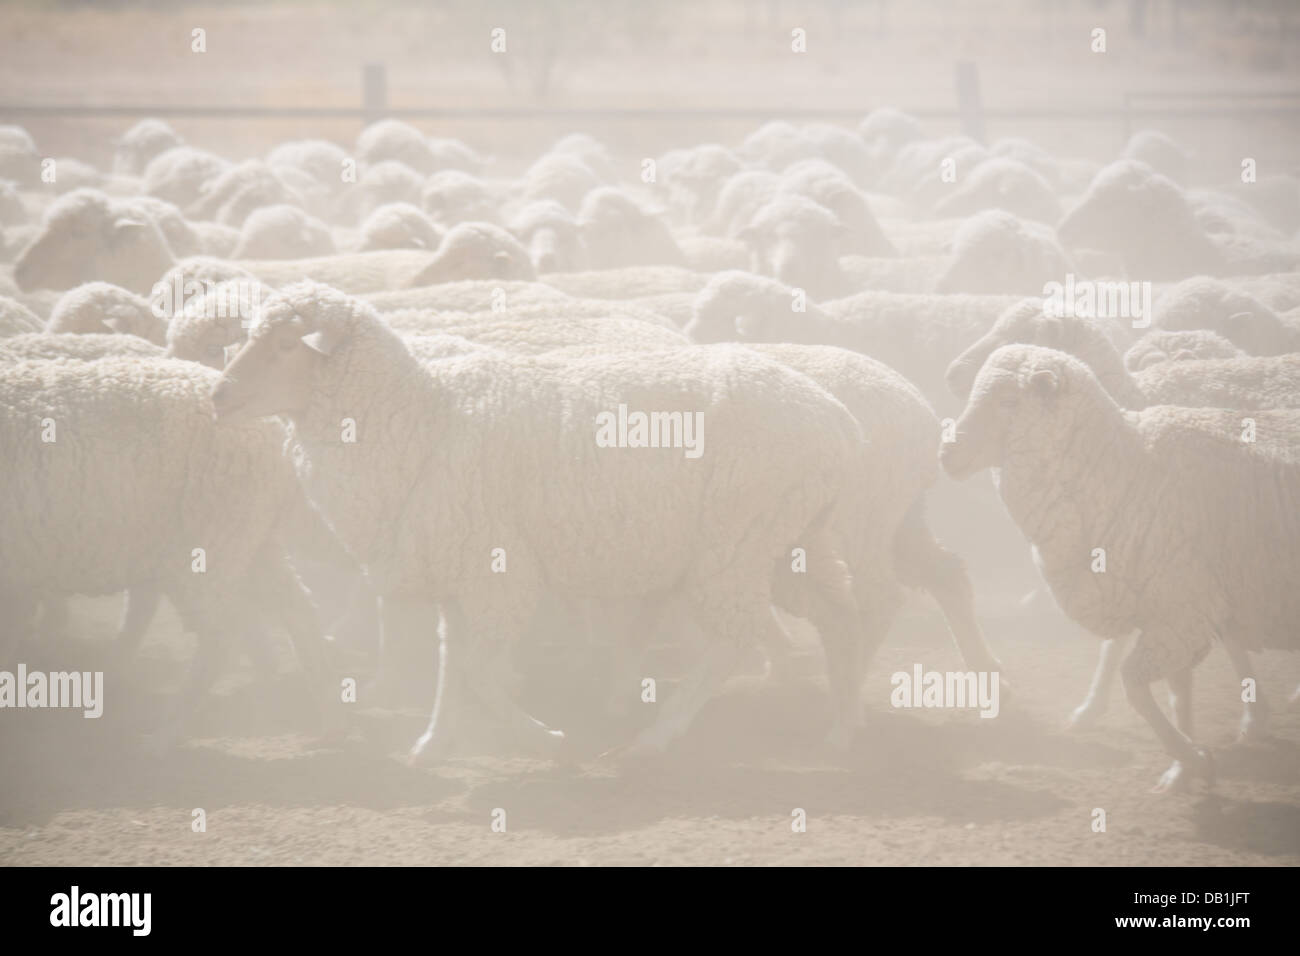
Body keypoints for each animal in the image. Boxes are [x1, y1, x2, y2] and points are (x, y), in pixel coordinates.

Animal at [213, 282, 868, 757]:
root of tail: (836, 418)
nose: (218, 396)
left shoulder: (497, 573)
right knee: (841, 617)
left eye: (285, 345)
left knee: (736, 640)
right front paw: (433, 744)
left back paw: (661, 734)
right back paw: (841, 723)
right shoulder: (458, 574)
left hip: (734, 544)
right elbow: (453, 666)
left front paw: (540, 737)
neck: (419, 416)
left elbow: (477, 671)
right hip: (790, 540)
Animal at [940, 343, 1300, 790]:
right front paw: (1183, 768)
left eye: (1009, 401)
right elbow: (1178, 692)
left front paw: (1192, 758)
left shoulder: (1181, 612)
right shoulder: (1171, 614)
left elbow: (1135, 686)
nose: (945, 454)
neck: (1125, 469)